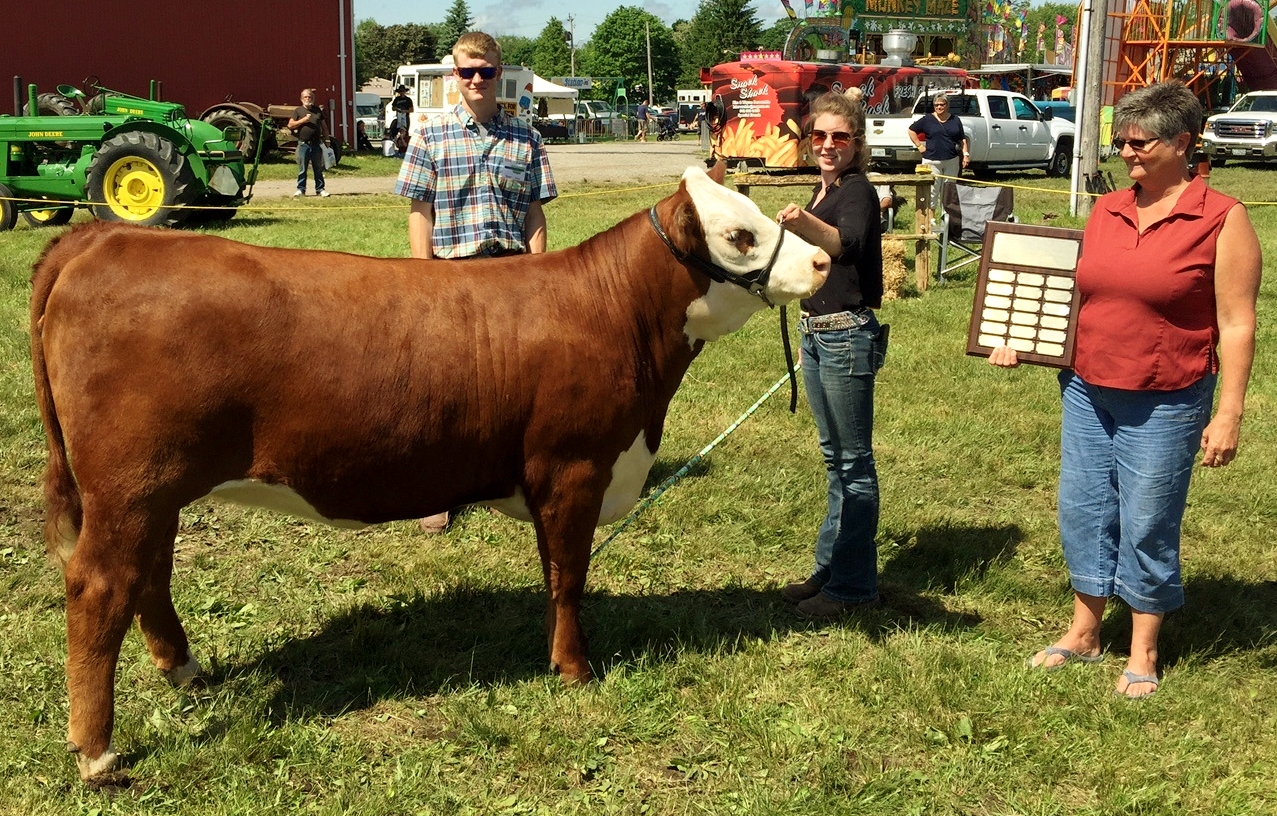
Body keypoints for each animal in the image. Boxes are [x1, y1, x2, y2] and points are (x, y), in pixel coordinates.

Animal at [30, 163, 829, 784]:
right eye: (739, 234)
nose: (822, 262)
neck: (615, 314)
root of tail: (107, 237)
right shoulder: (572, 467)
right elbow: (568, 577)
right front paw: (574, 669)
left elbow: (554, 574)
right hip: (129, 485)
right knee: (100, 587)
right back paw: (97, 755)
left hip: (153, 490)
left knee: (148, 575)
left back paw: (186, 671)